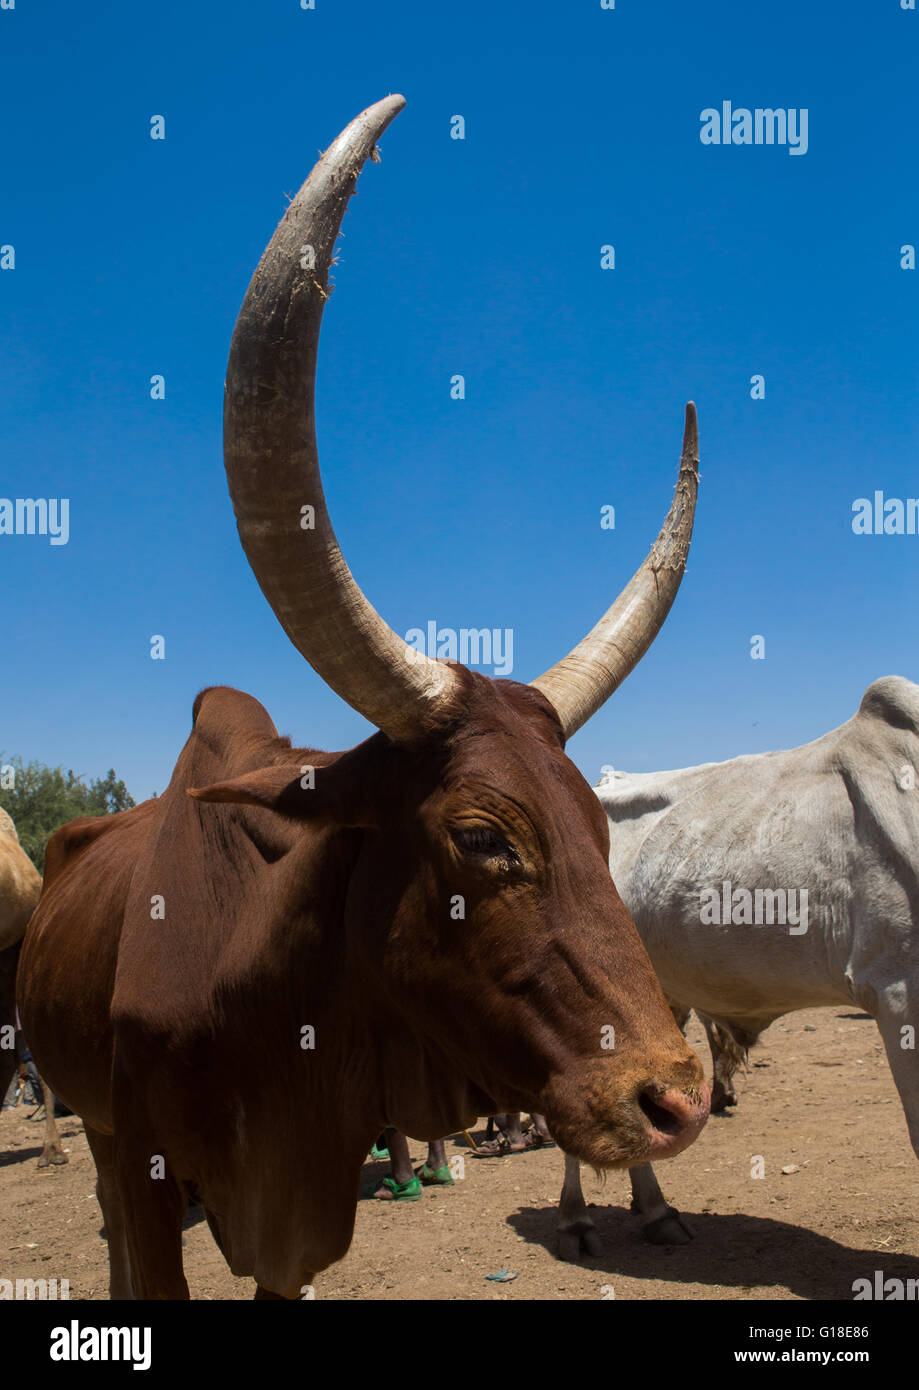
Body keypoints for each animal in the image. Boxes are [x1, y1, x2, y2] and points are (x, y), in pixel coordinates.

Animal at [17, 95, 710, 1300]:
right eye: (480, 836)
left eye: (601, 831)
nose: (673, 1097)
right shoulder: (150, 1176)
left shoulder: (296, 1216)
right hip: (97, 1133)